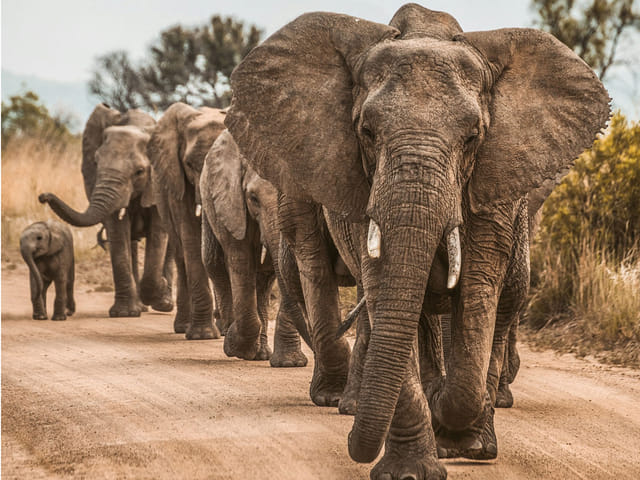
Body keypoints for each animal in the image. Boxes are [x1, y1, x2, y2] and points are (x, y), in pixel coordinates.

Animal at [39, 104, 173, 318]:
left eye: (140, 172)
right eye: (95, 163)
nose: (43, 196)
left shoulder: (158, 183)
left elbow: (159, 234)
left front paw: (159, 288)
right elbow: (117, 232)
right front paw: (125, 313)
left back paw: (164, 304)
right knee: (131, 243)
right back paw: (141, 306)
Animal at [147, 102, 227, 340]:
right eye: (190, 164)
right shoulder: (177, 180)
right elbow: (190, 236)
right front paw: (203, 335)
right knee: (181, 255)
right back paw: (184, 327)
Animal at [199, 129, 310, 366]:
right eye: (253, 198)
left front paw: (290, 364)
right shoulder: (231, 202)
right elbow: (240, 260)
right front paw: (233, 346)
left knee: (265, 277)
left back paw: (260, 354)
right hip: (208, 201)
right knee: (214, 262)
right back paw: (229, 330)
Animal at [224, 4, 609, 479]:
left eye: (473, 137)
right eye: (367, 132)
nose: (351, 444)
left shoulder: (494, 183)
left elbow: (478, 295)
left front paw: (461, 435)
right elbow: (385, 291)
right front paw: (410, 468)